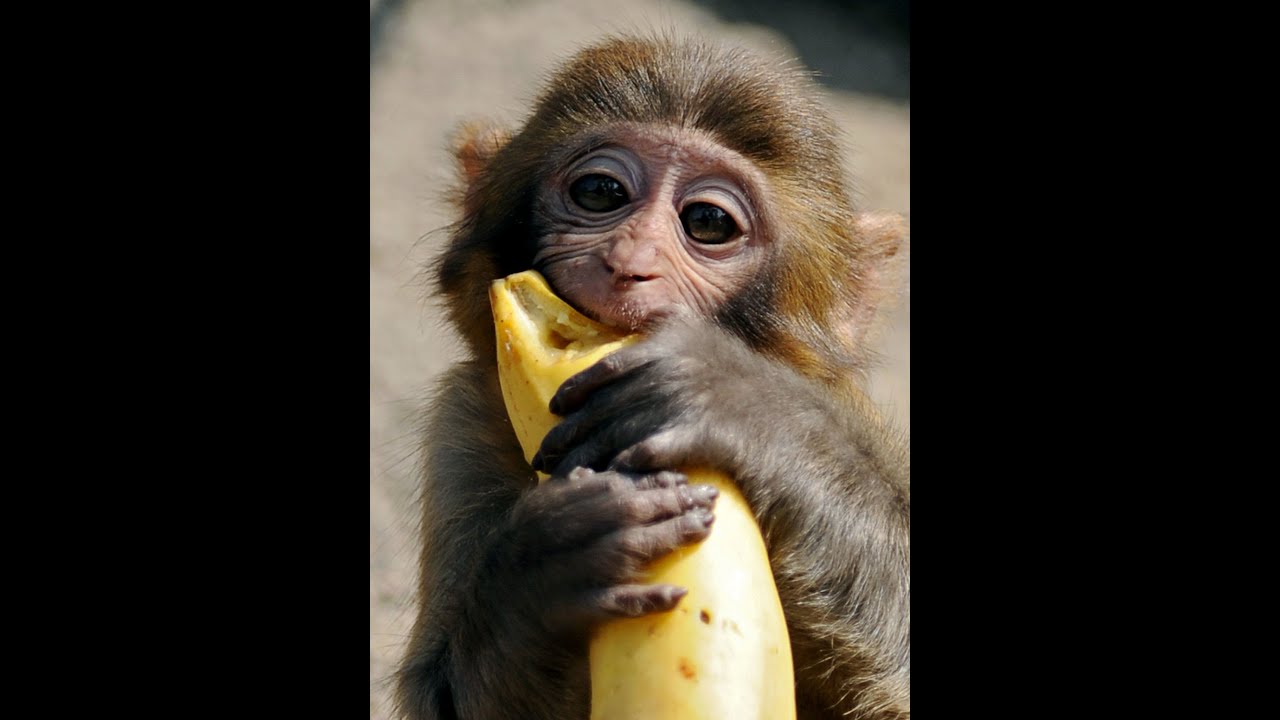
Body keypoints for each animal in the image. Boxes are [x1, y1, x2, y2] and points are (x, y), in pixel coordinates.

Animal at [395, 34, 909, 720]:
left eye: (709, 223)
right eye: (600, 192)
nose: (628, 261)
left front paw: (741, 405)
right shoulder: (463, 423)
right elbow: (439, 696)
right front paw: (545, 567)